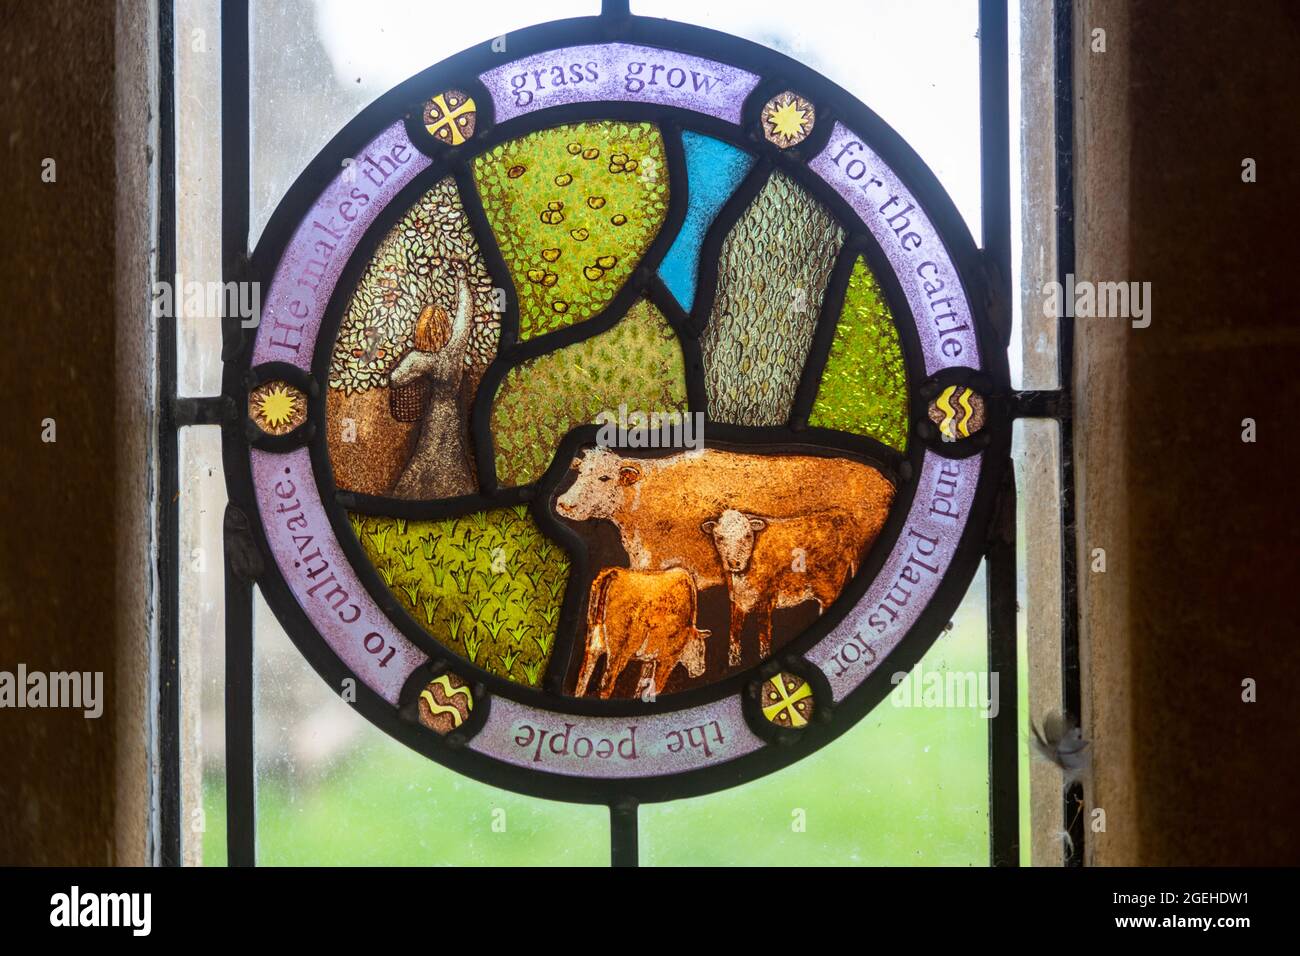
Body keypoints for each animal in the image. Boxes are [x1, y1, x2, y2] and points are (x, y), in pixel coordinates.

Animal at [574, 564, 712, 697]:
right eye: (701, 649)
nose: (701, 669)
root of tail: (613, 573)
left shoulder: (650, 660)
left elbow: (641, 688)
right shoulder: (668, 659)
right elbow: (655, 688)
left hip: (593, 646)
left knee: (582, 680)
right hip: (618, 654)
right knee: (607, 684)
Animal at [702, 509, 863, 665]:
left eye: (747, 535)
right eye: (720, 537)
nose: (734, 562)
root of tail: (842, 517)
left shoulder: (766, 601)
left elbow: (764, 637)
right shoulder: (737, 601)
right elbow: (734, 633)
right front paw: (734, 662)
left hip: (829, 591)